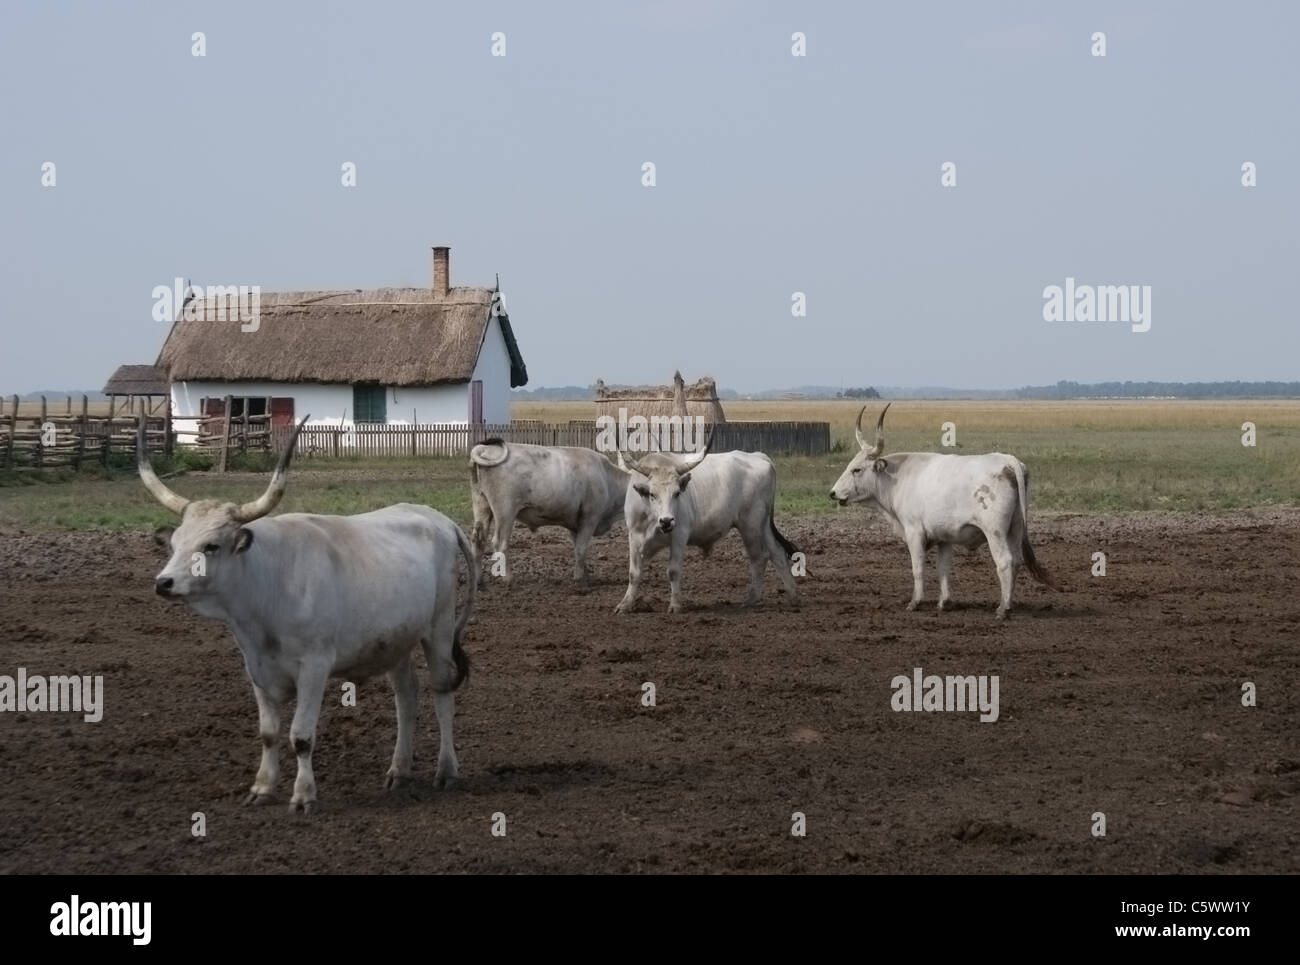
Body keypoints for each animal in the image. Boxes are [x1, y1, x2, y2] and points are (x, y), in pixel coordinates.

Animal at [138, 417, 475, 813]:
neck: (267, 587)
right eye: (175, 543)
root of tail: (437, 518)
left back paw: (447, 770)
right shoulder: (256, 667)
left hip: (439, 630)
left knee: (441, 693)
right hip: (396, 641)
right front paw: (262, 787)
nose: (164, 583)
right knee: (406, 695)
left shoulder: (314, 666)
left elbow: (300, 735)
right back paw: (399, 771)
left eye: (211, 545)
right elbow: (269, 733)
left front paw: (303, 795)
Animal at [469, 439, 630, 585]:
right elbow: (581, 549)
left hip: (481, 505)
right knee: (500, 543)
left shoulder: (575, 523)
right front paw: (579, 578)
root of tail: (485, 449)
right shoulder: (590, 518)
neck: (607, 478)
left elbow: (577, 547)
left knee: (478, 541)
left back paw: (478, 580)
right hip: (505, 512)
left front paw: (586, 575)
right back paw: (508, 578)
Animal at [615, 439, 800, 614]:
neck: (651, 518)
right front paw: (624, 605)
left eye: (677, 493)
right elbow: (633, 573)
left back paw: (751, 599)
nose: (667, 521)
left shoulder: (679, 536)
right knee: (777, 553)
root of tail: (758, 456)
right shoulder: (634, 536)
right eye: (652, 494)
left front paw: (675, 605)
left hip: (751, 525)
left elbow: (673, 571)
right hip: (763, 525)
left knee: (759, 557)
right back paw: (792, 596)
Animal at [829, 404, 1056, 619]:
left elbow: (918, 568)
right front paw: (944, 602)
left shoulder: (914, 532)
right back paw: (1009, 604)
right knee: (1016, 561)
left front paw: (915, 602)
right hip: (1015, 528)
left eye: (857, 469)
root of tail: (1009, 461)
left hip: (995, 532)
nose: (833, 493)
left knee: (1005, 562)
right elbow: (943, 569)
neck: (900, 477)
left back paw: (1003, 609)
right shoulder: (944, 537)